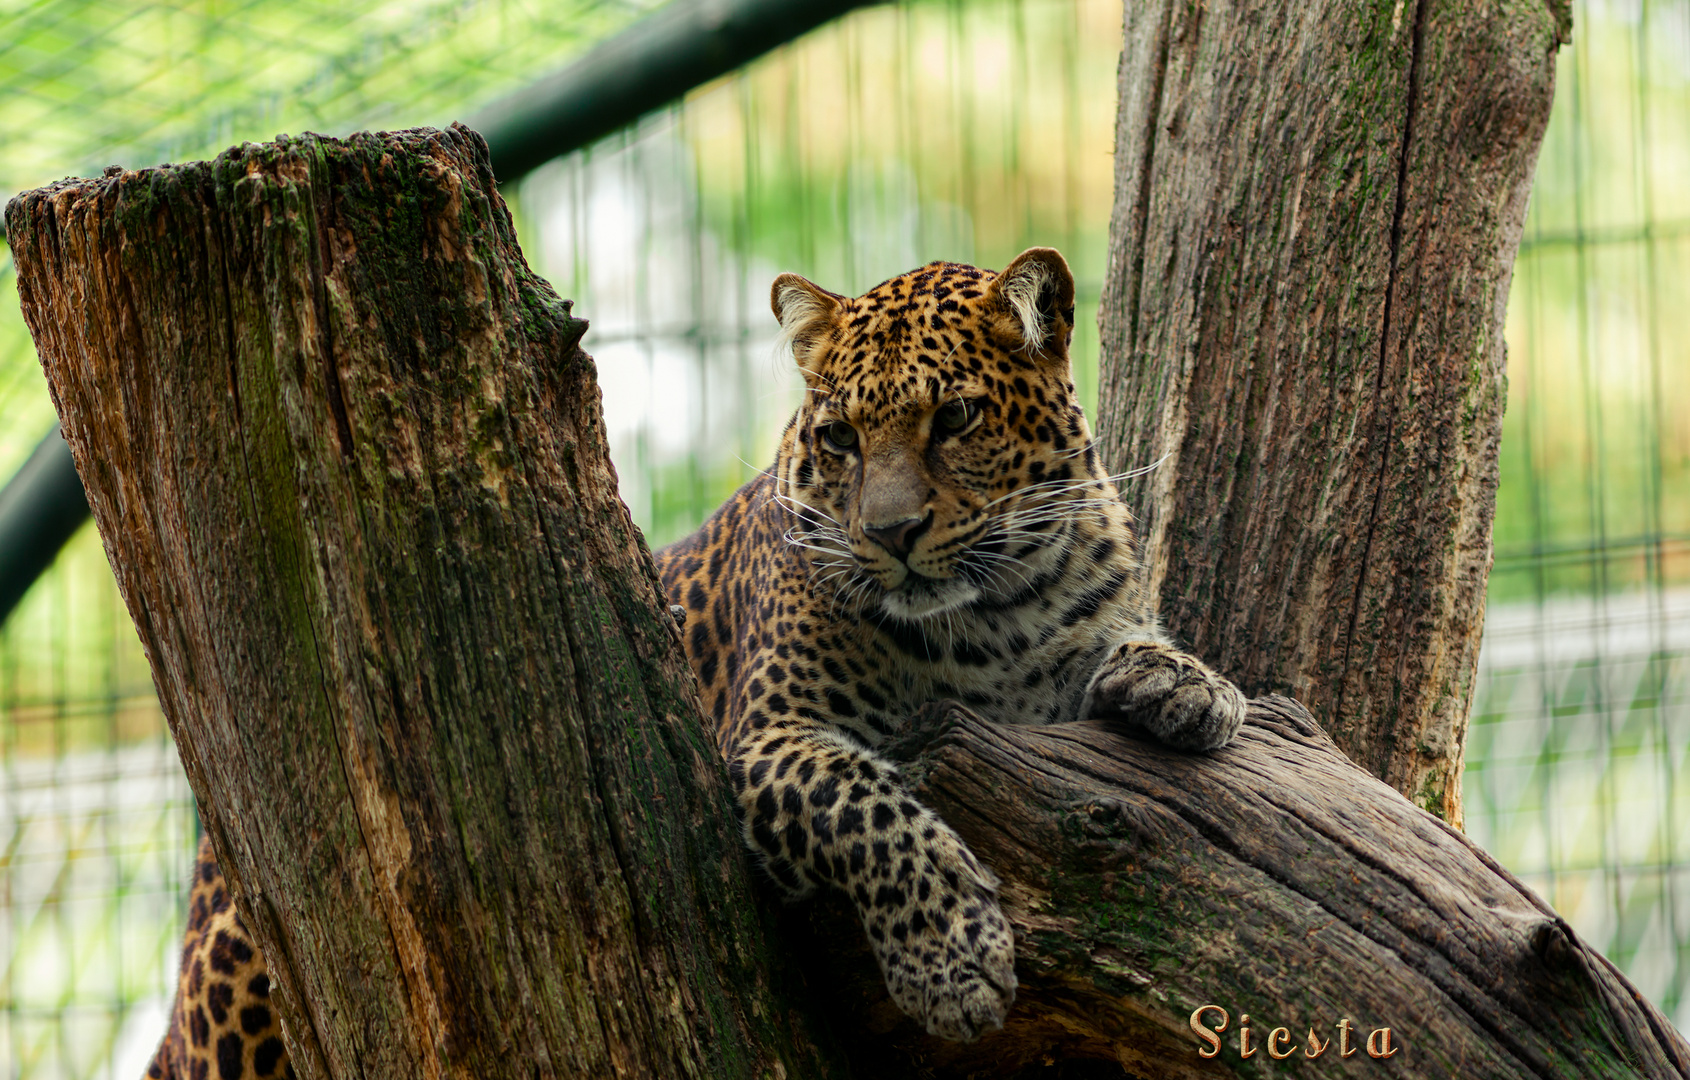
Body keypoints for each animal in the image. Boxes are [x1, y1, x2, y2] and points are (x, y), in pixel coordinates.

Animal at [144, 246, 1245, 1072]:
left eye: (957, 417)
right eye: (839, 438)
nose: (889, 534)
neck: (995, 615)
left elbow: (1125, 638)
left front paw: (1186, 685)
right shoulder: (755, 744)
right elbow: (866, 804)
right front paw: (952, 963)